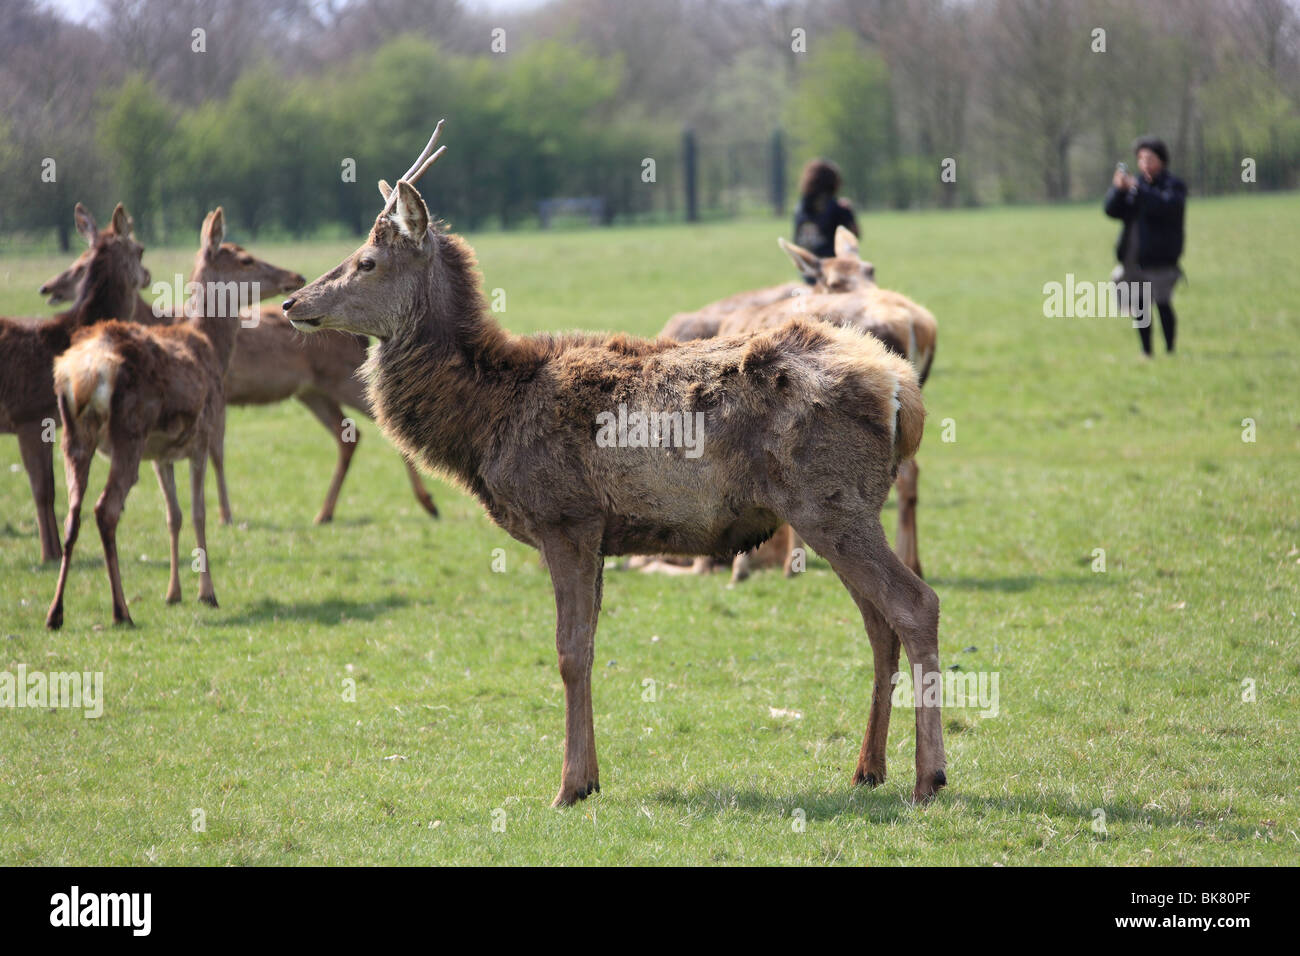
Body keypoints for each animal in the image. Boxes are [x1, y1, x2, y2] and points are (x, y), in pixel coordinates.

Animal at [1, 204, 151, 563]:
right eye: (140, 249)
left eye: (82, 264)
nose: (148, 274)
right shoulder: (27, 415)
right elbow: (42, 489)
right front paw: (49, 553)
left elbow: (55, 487)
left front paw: (55, 549)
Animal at [38, 212, 440, 525]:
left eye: (81, 266)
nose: (47, 287)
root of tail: (363, 338)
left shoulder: (220, 394)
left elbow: (216, 451)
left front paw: (225, 515)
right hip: (312, 392)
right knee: (349, 436)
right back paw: (326, 513)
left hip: (344, 380)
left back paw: (428, 503)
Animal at [45, 208, 283, 629]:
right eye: (245, 259)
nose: (295, 277)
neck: (212, 347)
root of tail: (85, 373)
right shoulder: (201, 437)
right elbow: (199, 513)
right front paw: (207, 594)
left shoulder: (161, 455)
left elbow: (173, 516)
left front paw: (173, 594)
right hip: (129, 431)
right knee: (105, 509)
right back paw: (121, 611)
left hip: (75, 435)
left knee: (73, 513)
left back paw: (55, 613)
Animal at [282, 124, 946, 807]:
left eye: (367, 260)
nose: (292, 301)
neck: (484, 421)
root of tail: (903, 392)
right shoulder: (601, 532)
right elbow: (592, 647)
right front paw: (592, 777)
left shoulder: (565, 517)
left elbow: (569, 652)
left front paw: (569, 786)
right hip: (841, 508)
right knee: (878, 623)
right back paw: (867, 768)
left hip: (828, 500)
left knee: (915, 604)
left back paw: (928, 777)